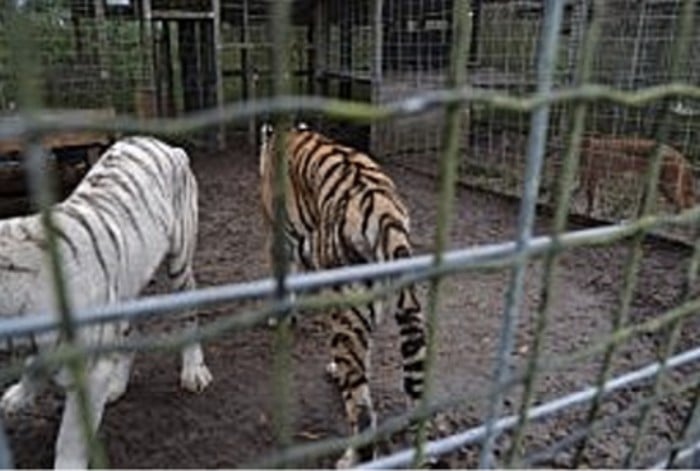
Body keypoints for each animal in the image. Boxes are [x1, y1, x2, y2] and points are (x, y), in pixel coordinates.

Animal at [0, 135, 213, 469]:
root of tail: (165, 145)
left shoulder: (90, 368)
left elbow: (71, 437)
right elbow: (34, 365)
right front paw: (18, 397)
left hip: (179, 260)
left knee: (187, 311)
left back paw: (193, 371)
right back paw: (116, 386)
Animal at [259, 122, 427, 468]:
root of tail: (383, 211)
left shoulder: (279, 239)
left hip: (347, 313)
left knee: (361, 411)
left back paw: (351, 458)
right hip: (403, 313)